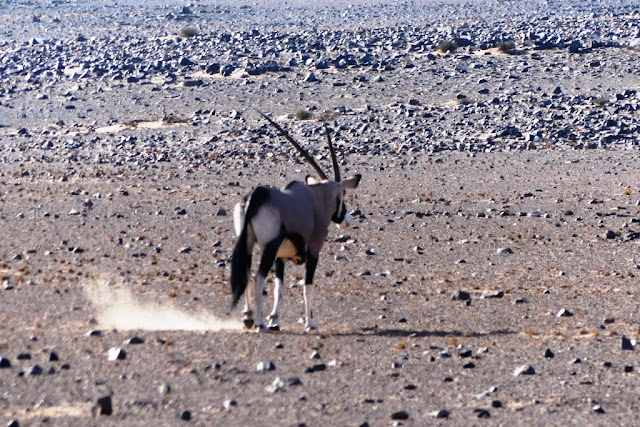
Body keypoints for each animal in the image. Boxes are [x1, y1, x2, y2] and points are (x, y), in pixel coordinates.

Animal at [229, 112, 362, 332]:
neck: (316, 199)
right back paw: (259, 323)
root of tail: (256, 196)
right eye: (342, 195)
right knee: (258, 278)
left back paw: (248, 318)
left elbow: (279, 289)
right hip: (268, 247)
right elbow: (308, 287)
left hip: (247, 242)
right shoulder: (313, 251)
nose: (346, 220)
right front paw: (310, 323)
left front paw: (275, 320)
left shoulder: (280, 258)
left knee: (247, 274)